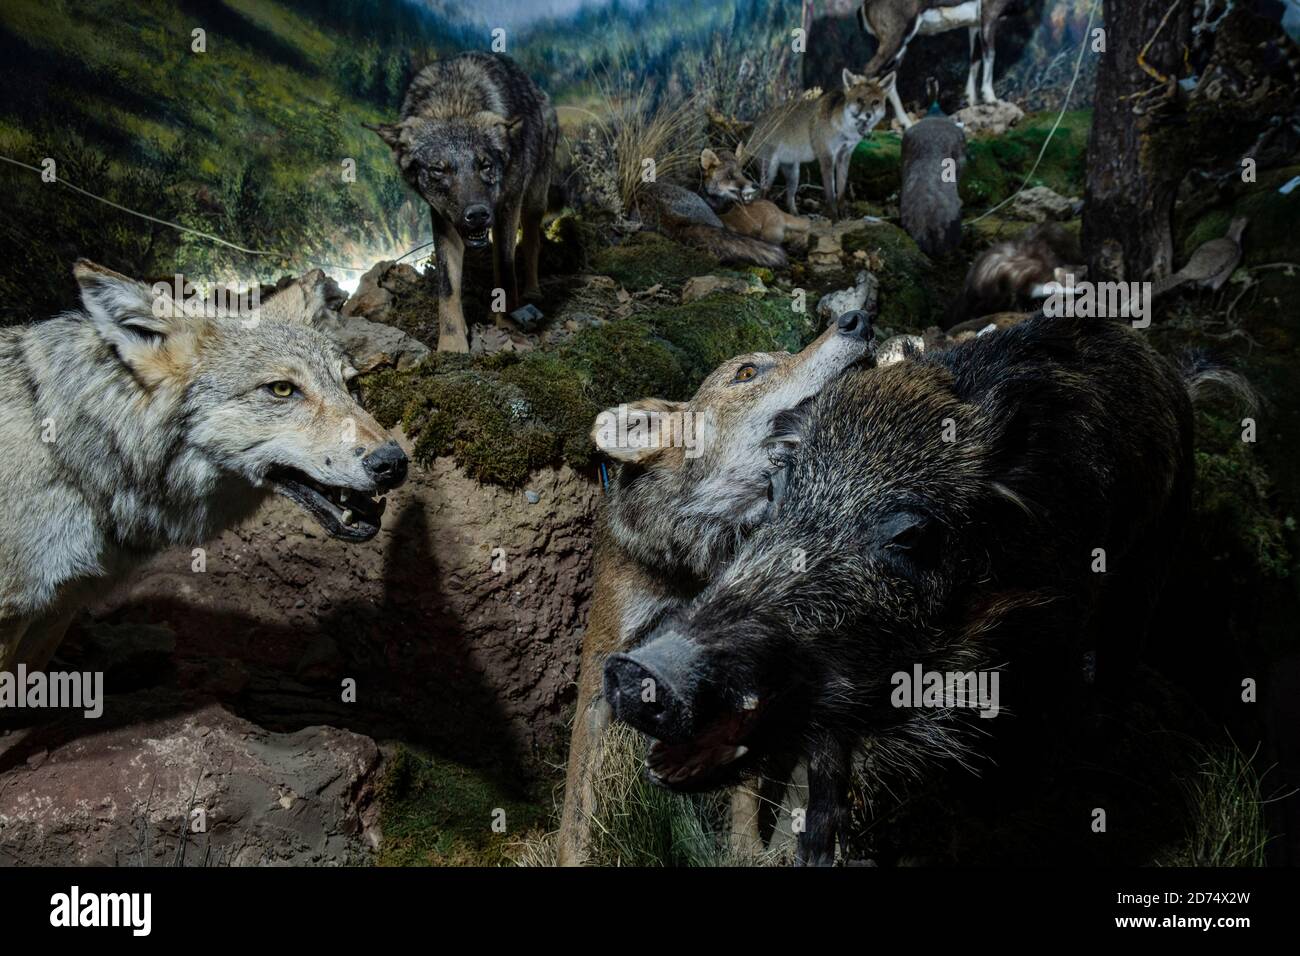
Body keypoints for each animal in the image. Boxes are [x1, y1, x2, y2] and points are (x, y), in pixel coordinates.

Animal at [369, 52, 558, 353]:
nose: (478, 214)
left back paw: (532, 292)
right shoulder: (442, 220)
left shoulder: (507, 206)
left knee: (531, 242)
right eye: (439, 170)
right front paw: (452, 343)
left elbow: (505, 269)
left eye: (485, 165)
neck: (453, 103)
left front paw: (507, 322)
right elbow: (448, 288)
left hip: (533, 201)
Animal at [555, 310, 874, 865]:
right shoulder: (600, 680)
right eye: (746, 373)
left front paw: (747, 850)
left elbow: (746, 788)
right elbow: (579, 809)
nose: (858, 319)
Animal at [750, 70, 894, 219]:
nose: (868, 115)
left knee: (788, 198)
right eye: (859, 100)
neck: (845, 130)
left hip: (794, 174)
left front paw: (843, 214)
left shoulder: (844, 155)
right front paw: (835, 218)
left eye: (875, 102)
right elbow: (830, 193)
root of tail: (755, 123)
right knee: (762, 194)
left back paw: (796, 215)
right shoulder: (826, 156)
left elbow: (841, 190)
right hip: (769, 172)